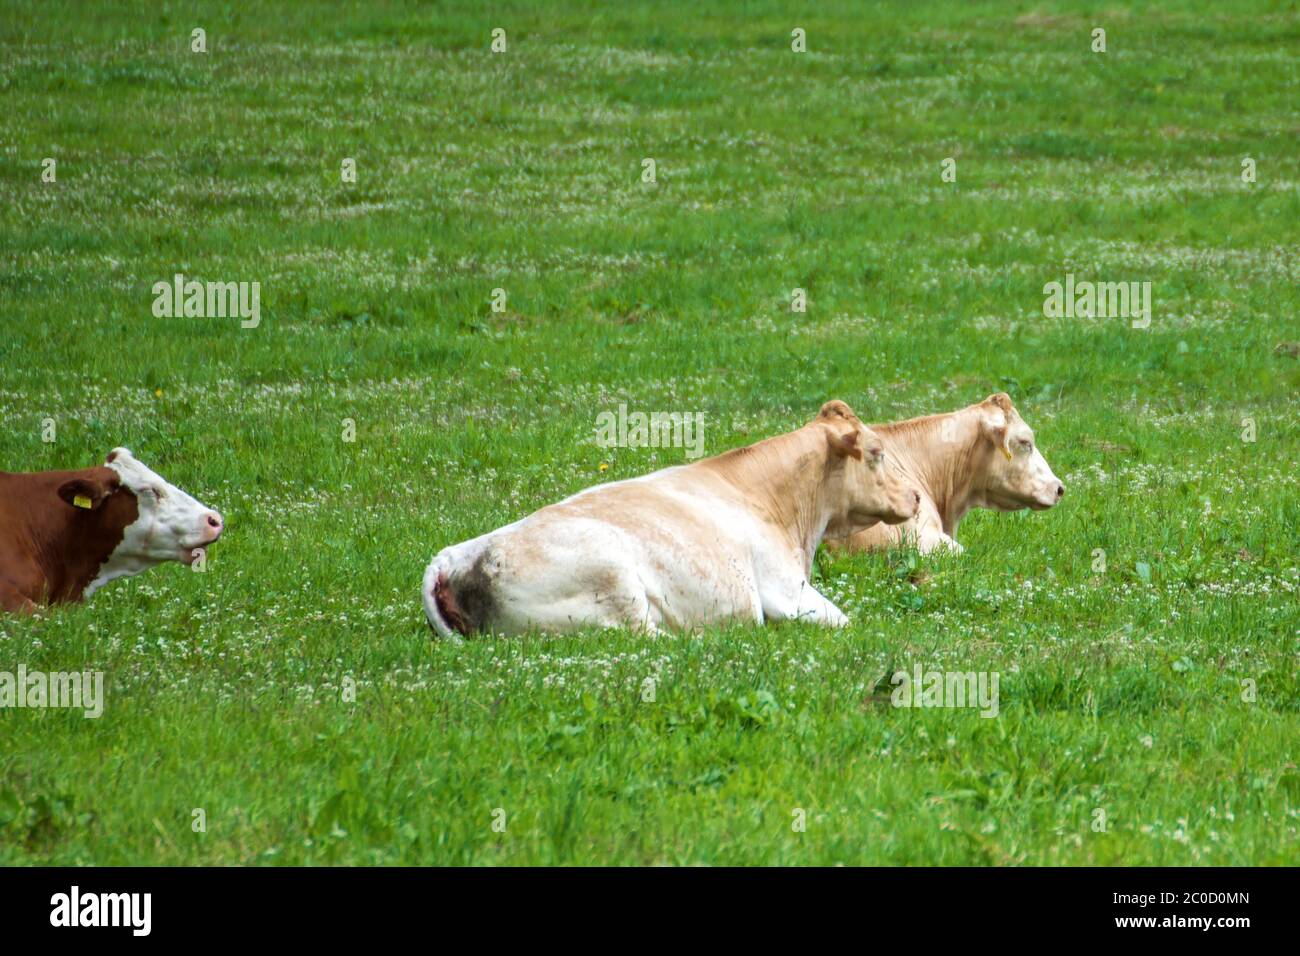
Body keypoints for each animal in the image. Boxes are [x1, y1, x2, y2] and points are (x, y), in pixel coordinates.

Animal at [423, 400, 921, 637]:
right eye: (876, 452)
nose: (916, 496)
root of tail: (450, 561)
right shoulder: (788, 592)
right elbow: (847, 622)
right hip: (614, 588)